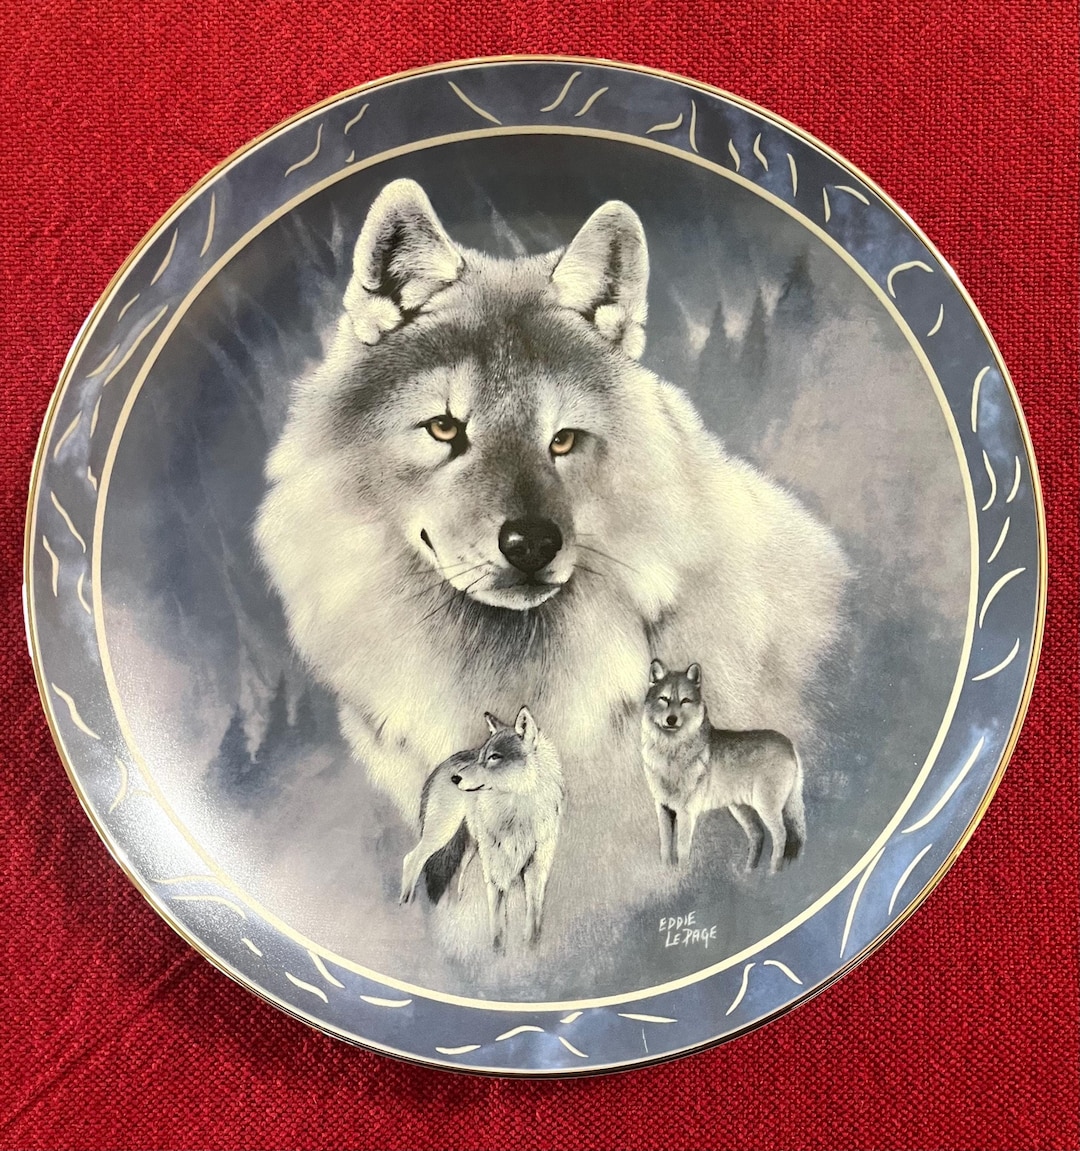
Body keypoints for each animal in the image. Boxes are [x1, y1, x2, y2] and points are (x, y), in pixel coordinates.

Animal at [641, 660, 806, 872]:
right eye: (664, 699)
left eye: (685, 701)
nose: (672, 719)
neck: (671, 752)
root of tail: (790, 745)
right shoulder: (663, 808)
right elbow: (665, 848)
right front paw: (666, 871)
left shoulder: (686, 813)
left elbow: (682, 851)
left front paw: (682, 874)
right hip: (742, 810)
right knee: (758, 835)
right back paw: (749, 873)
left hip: (766, 808)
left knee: (781, 835)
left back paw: (773, 872)